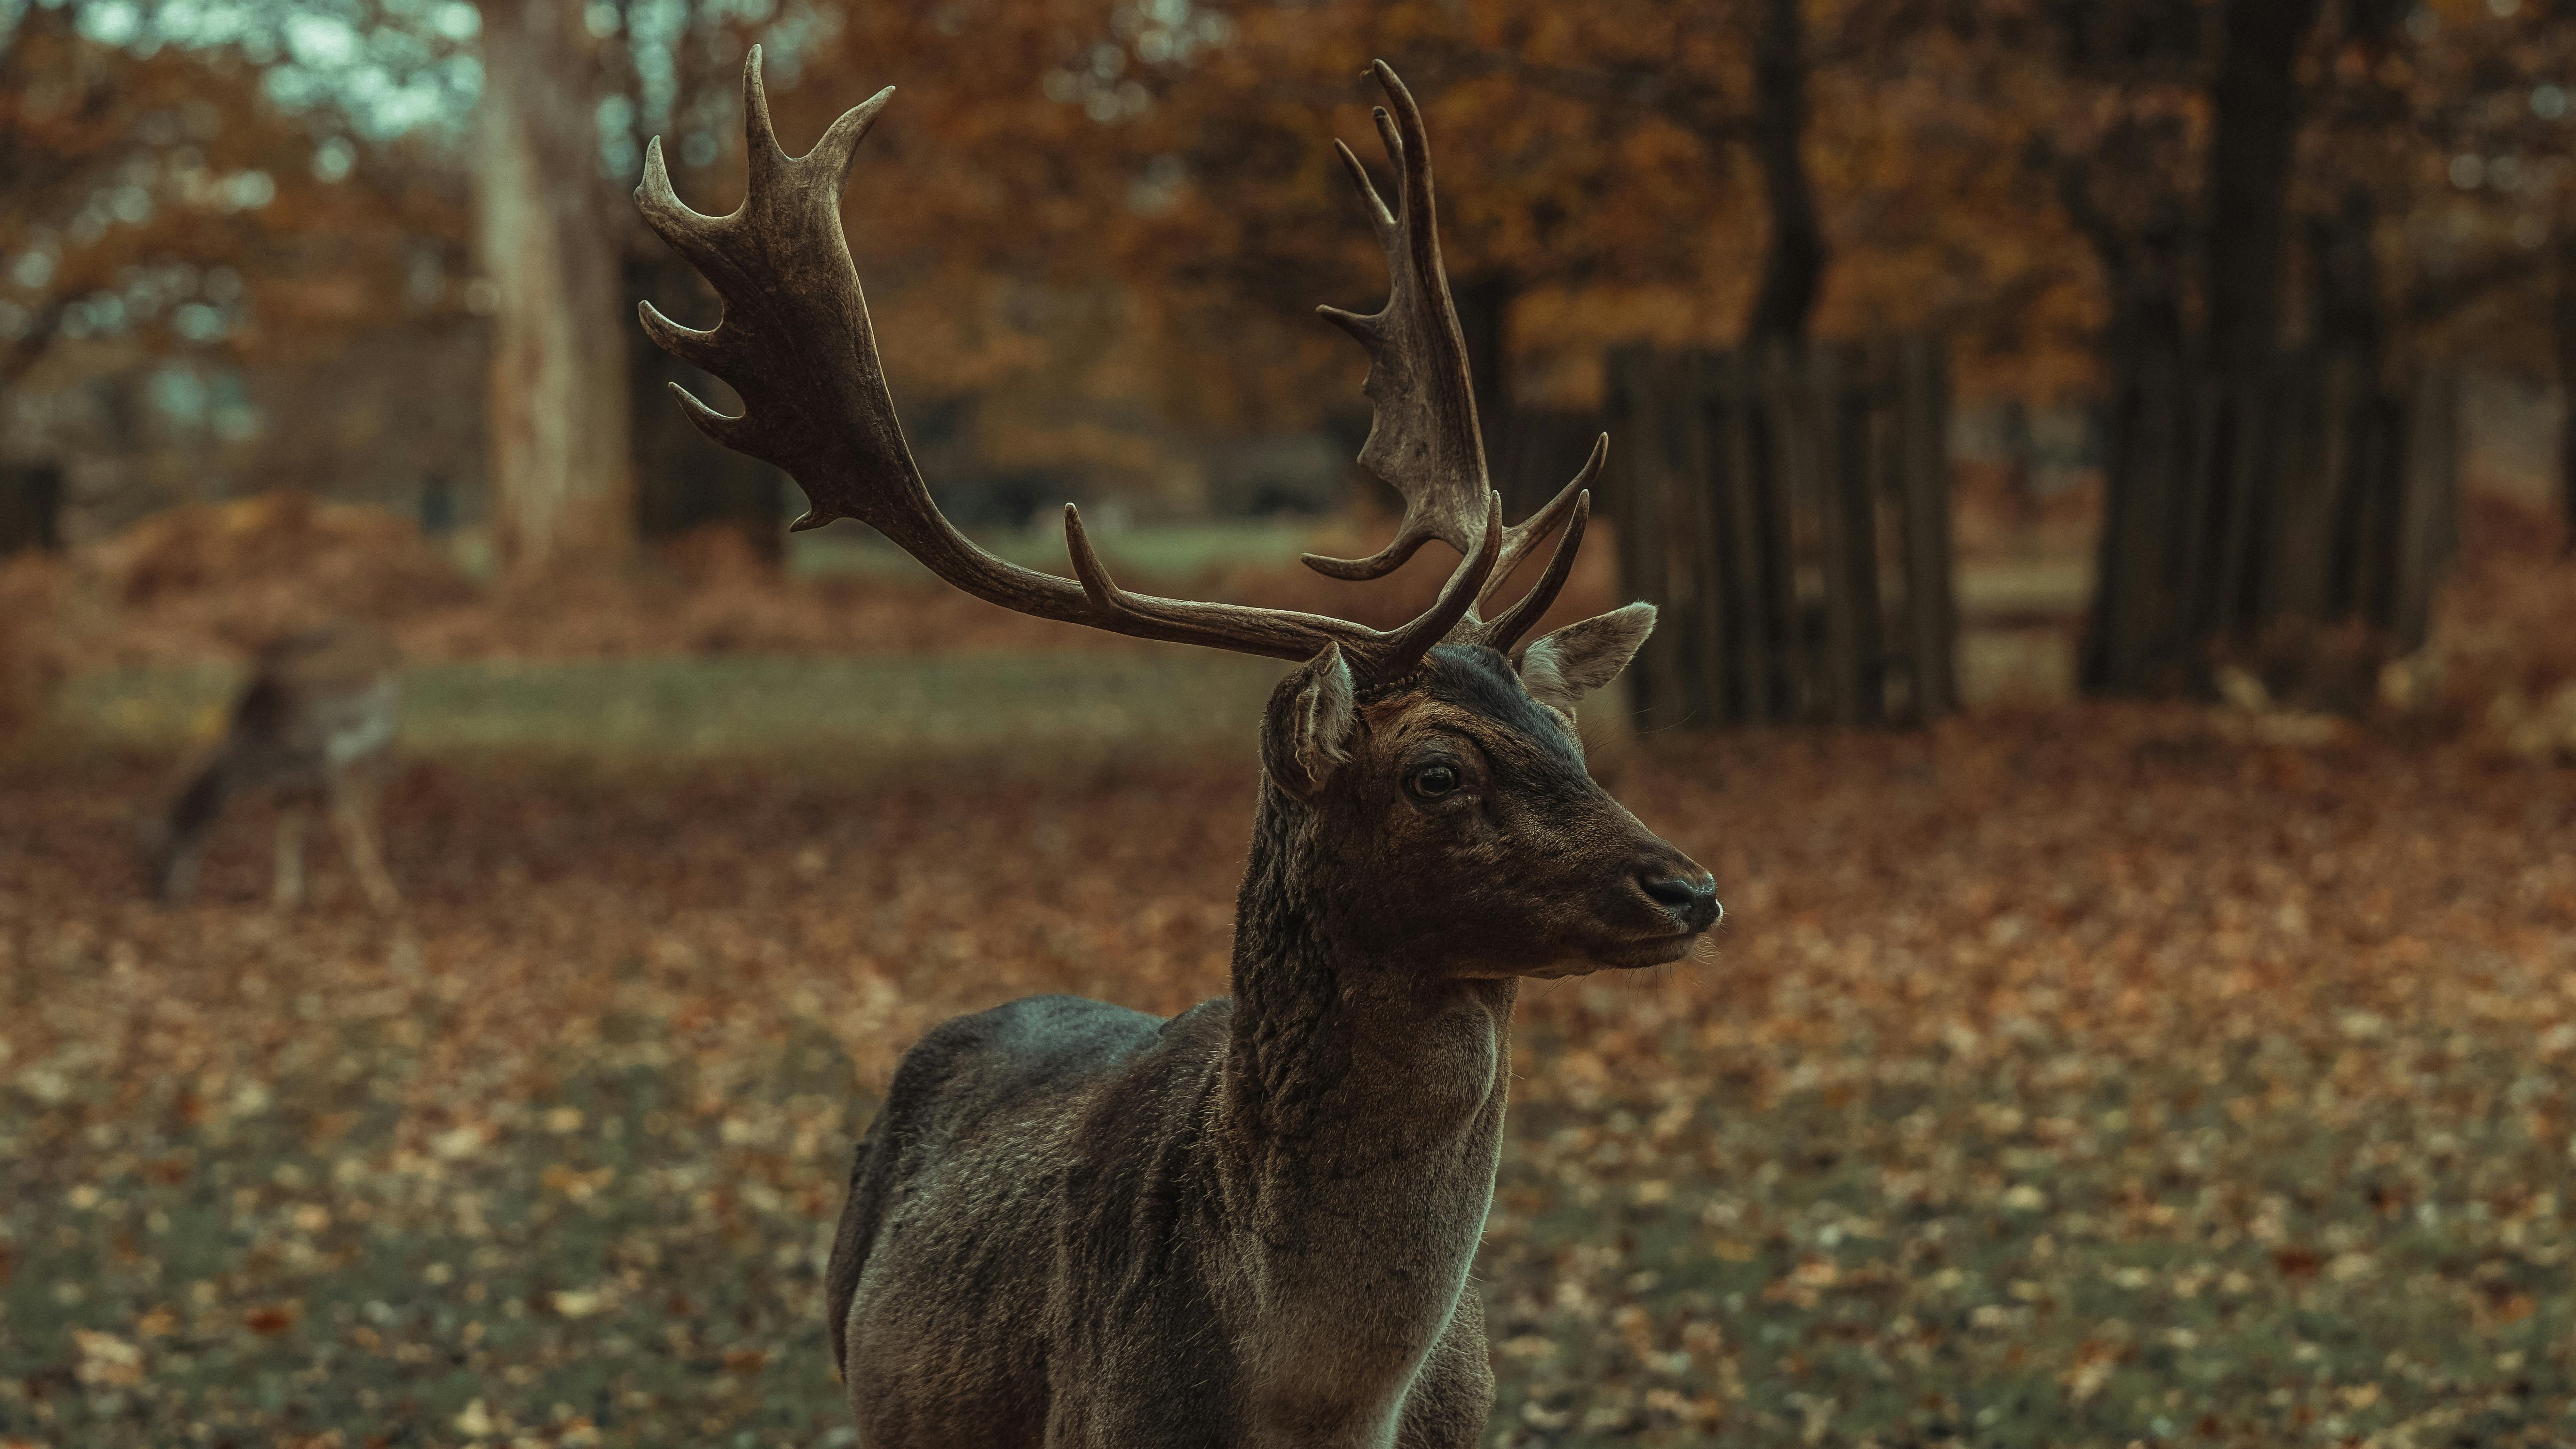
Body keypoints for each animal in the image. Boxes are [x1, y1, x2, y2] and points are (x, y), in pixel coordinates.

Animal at [145, 620, 402, 913]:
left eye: (160, 851)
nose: (162, 898)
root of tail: (385, 644)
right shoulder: (290, 783)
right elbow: (291, 827)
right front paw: (286, 899)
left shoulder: (326, 760)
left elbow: (343, 822)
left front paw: (385, 898)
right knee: (367, 794)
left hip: (380, 740)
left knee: (376, 785)